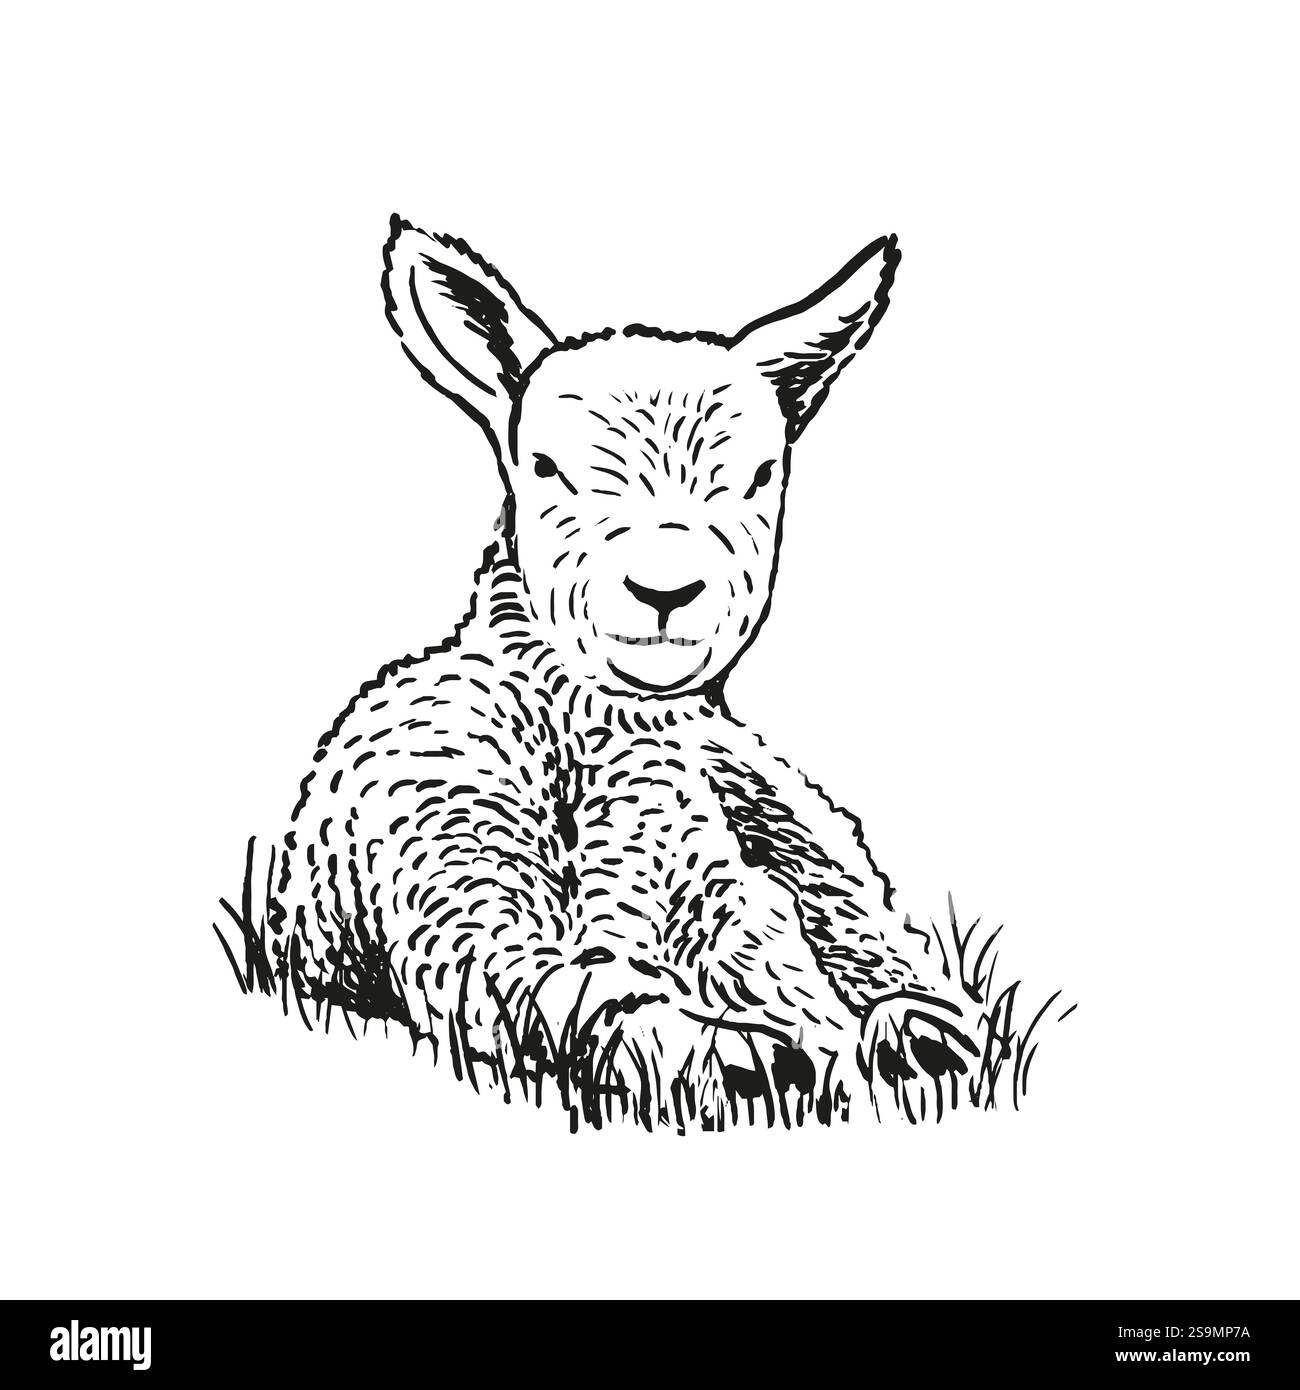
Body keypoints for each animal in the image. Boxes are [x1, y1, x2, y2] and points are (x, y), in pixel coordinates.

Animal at [242, 215, 1014, 1128]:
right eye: (546, 467)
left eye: (759, 476)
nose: (666, 590)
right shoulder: (457, 876)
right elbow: (566, 986)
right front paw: (727, 1057)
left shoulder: (719, 891)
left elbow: (789, 972)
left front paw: (819, 1052)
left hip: (797, 819)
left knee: (871, 933)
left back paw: (921, 1031)